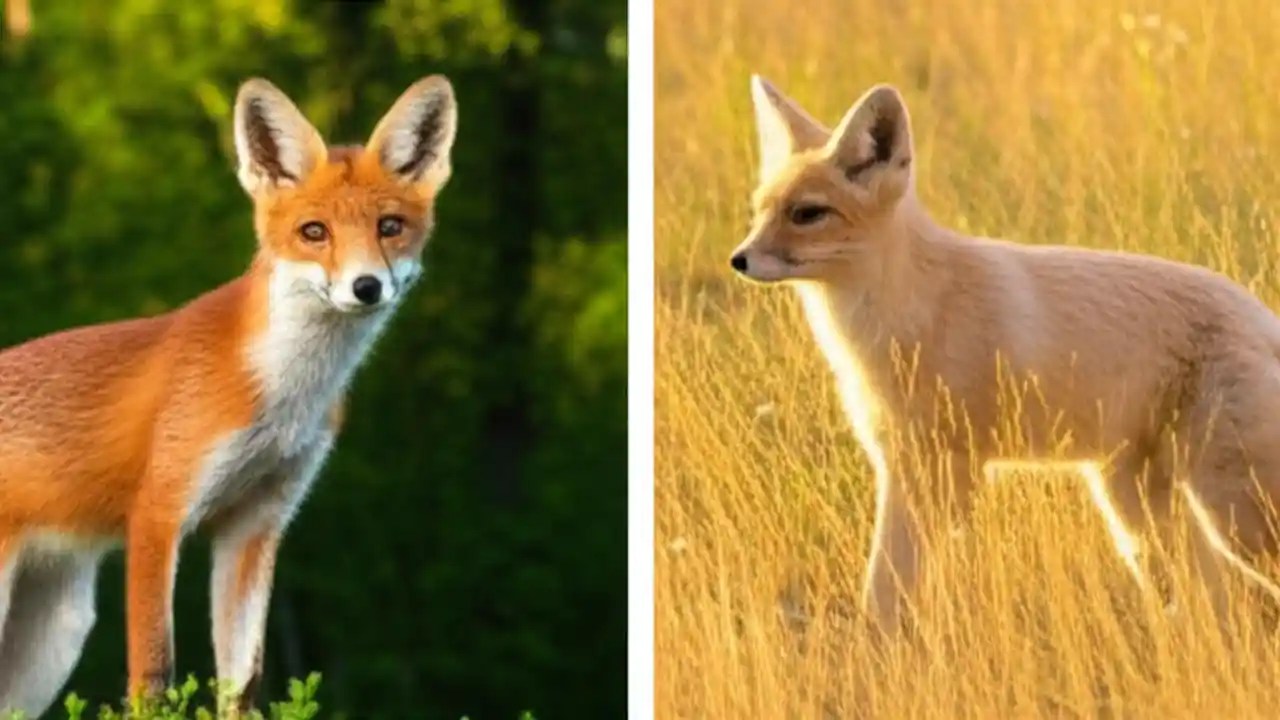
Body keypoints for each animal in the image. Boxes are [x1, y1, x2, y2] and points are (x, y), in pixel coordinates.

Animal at [0, 75, 457, 715]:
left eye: (389, 227)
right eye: (314, 233)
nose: (367, 287)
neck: (279, 390)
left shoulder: (256, 524)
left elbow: (243, 683)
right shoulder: (159, 512)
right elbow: (154, 674)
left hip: (50, 643)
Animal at [734, 75, 1280, 636]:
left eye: (807, 214)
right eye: (759, 212)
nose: (739, 259)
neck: (910, 310)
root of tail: (1261, 313)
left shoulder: (942, 469)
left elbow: (887, 586)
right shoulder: (904, 462)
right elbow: (888, 587)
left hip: (1231, 507)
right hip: (1136, 506)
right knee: (1214, 595)